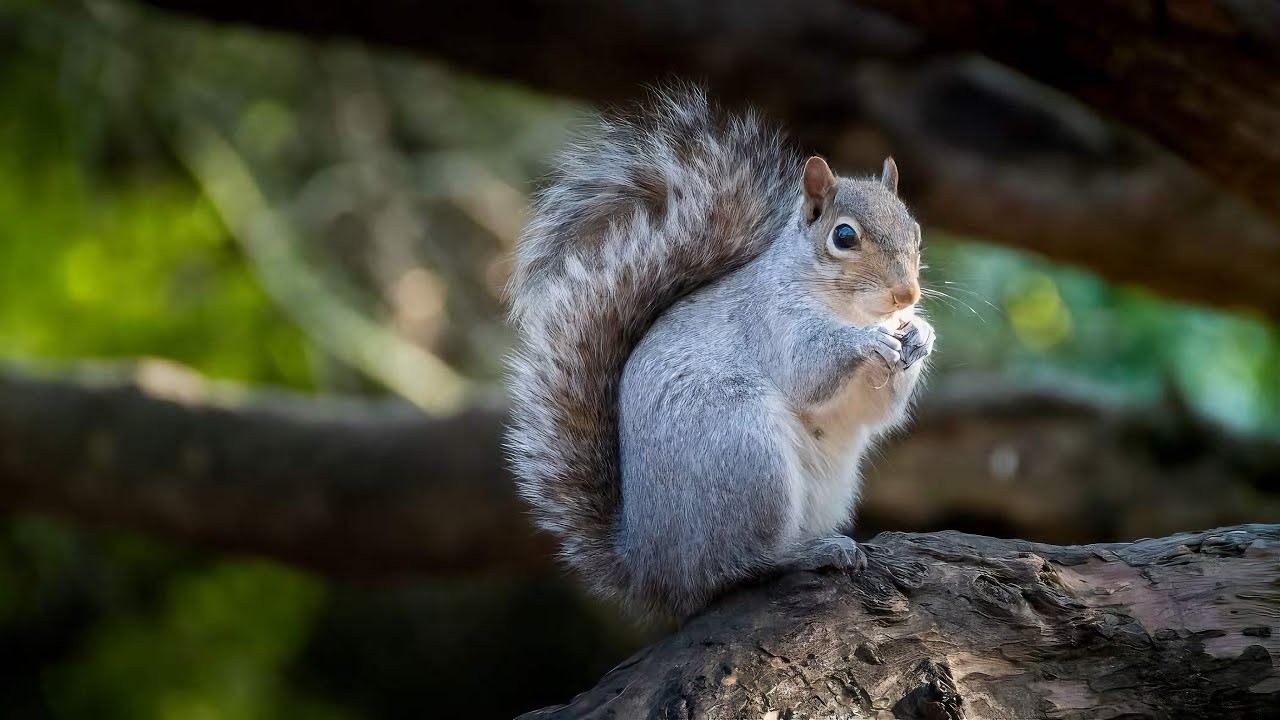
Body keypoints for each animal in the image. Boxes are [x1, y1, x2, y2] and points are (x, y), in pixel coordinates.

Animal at [506, 86, 934, 621]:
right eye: (844, 236)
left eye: (916, 233)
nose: (906, 294)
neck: (847, 308)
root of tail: (651, 566)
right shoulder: (771, 320)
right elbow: (807, 370)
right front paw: (867, 341)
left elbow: (877, 410)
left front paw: (920, 334)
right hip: (743, 445)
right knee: (736, 565)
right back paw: (805, 554)